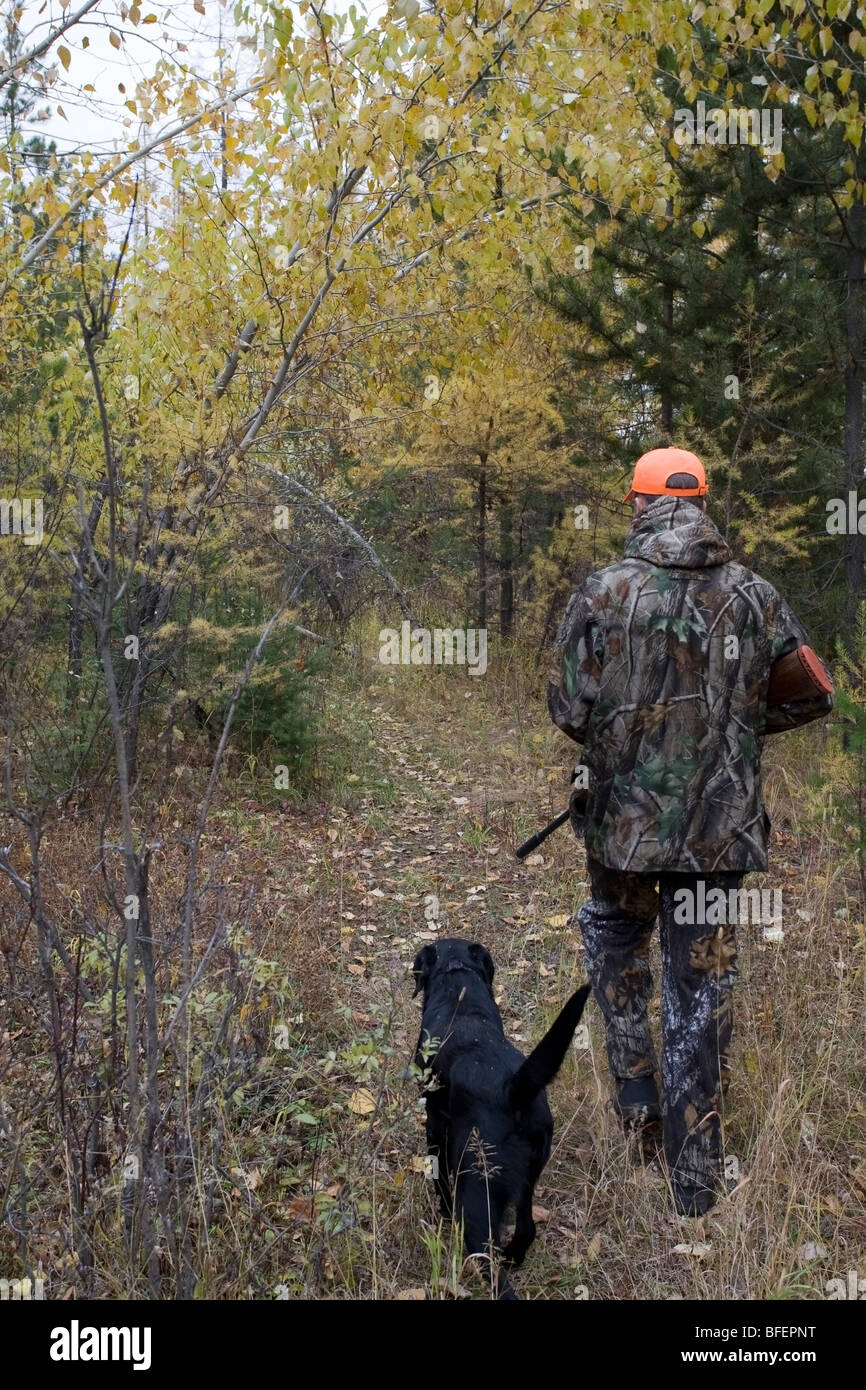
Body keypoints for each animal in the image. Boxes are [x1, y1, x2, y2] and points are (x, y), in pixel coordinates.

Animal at [411, 939, 589, 1295]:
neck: (457, 981)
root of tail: (512, 1088)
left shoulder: (435, 1120)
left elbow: (438, 1172)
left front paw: (443, 1211)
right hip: (528, 1177)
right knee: (527, 1229)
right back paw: (512, 1257)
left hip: (477, 1190)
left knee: (488, 1261)